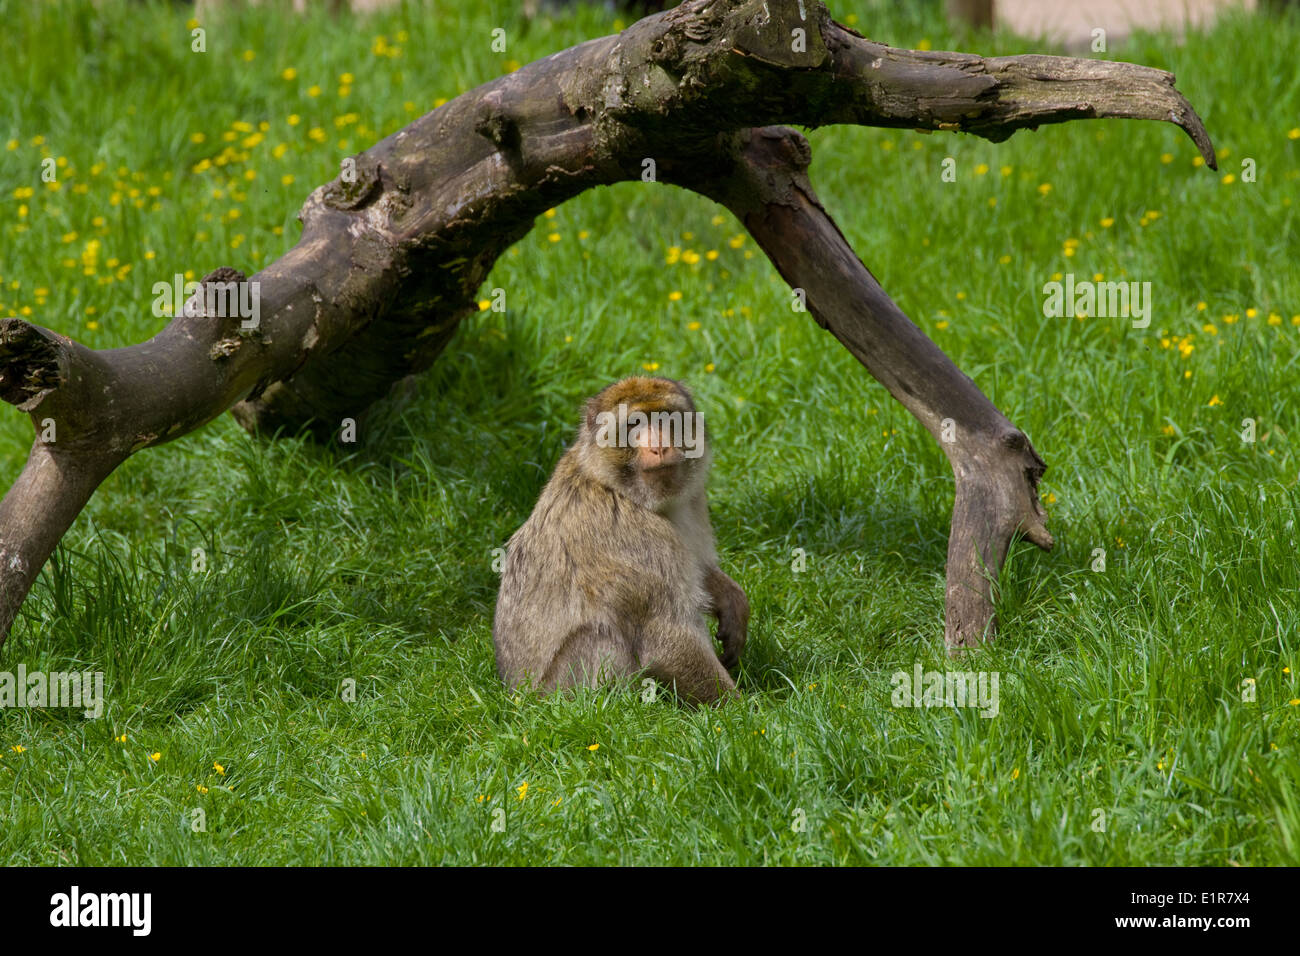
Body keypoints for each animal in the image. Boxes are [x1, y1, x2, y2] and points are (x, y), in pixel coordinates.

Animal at [492, 377, 749, 705]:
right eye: (635, 424)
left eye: (667, 418)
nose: (659, 446)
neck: (620, 489)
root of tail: (517, 697)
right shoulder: (638, 534)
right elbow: (667, 640)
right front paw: (746, 710)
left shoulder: (693, 501)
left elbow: (698, 568)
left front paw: (733, 601)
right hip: (561, 687)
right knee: (601, 635)